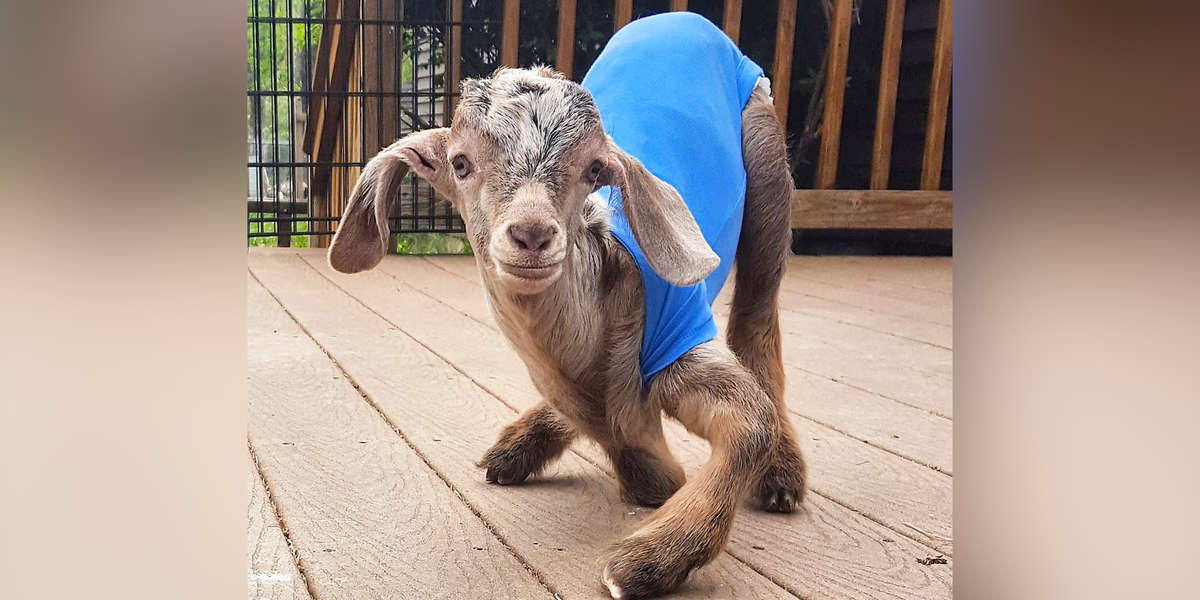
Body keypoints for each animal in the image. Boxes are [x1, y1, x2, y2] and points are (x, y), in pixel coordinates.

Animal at [328, 13, 806, 599]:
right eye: (460, 163)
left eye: (593, 169)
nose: (532, 234)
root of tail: (682, 18)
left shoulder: (680, 338)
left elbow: (749, 420)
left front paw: (649, 559)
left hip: (764, 151)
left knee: (758, 311)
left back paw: (782, 476)